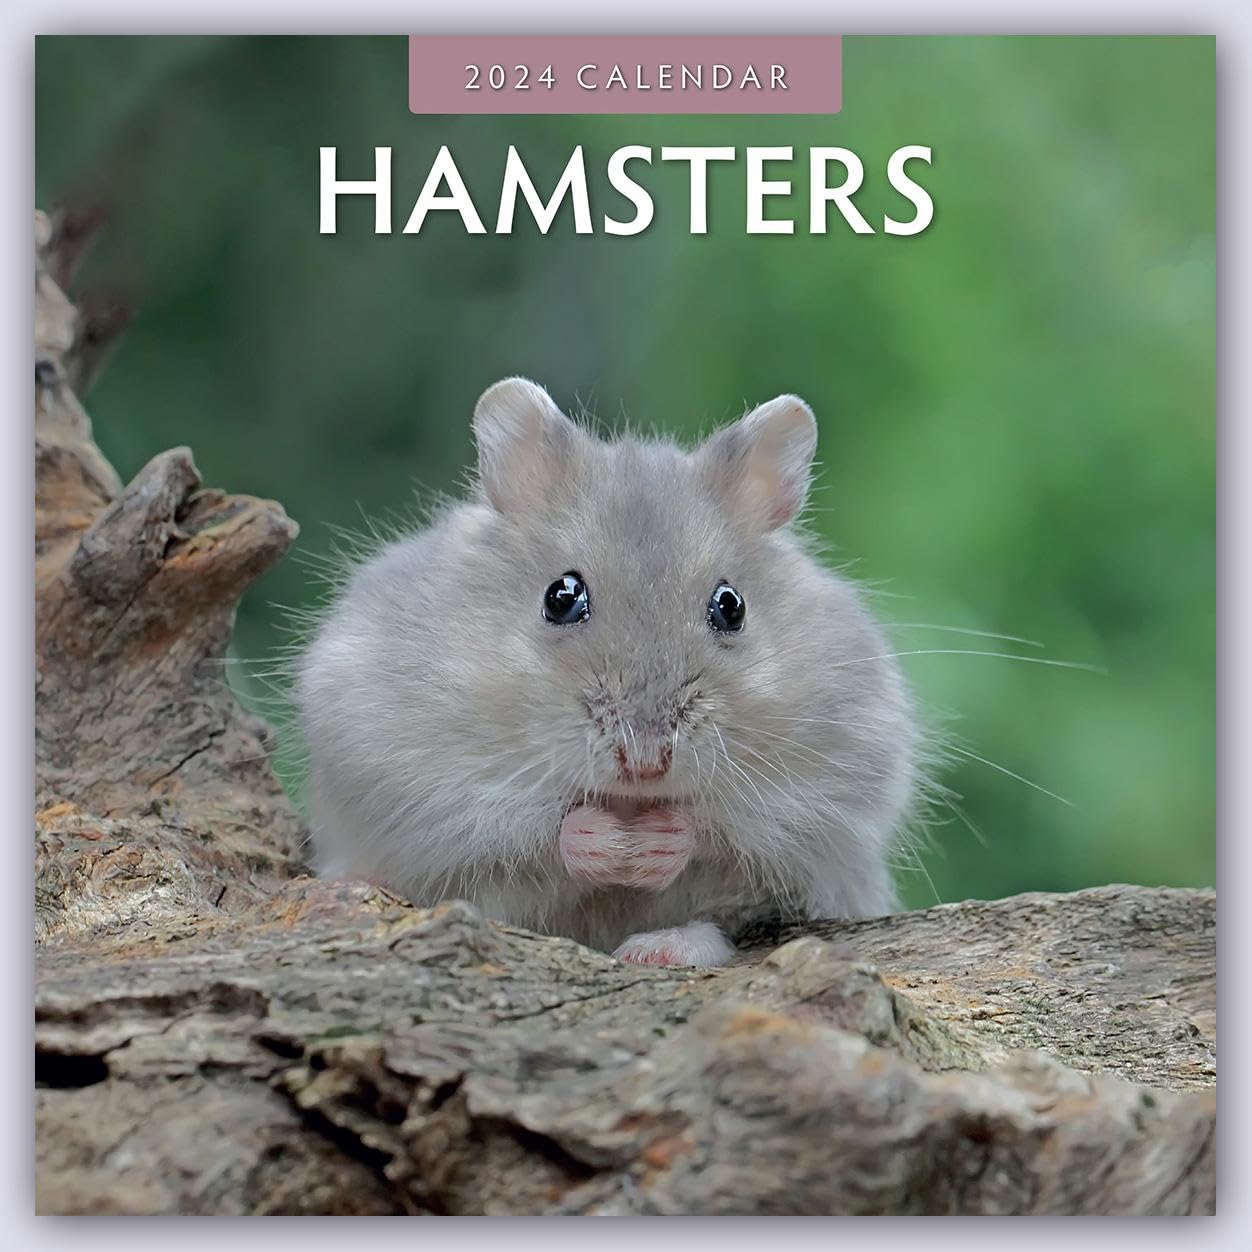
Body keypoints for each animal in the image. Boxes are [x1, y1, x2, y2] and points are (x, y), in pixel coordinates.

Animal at [296, 378, 920, 967]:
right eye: (561, 597)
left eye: (731, 606)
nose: (645, 764)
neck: (628, 802)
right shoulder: (411, 771)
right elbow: (534, 830)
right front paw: (609, 845)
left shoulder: (835, 786)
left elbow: (717, 833)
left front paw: (650, 845)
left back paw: (659, 949)